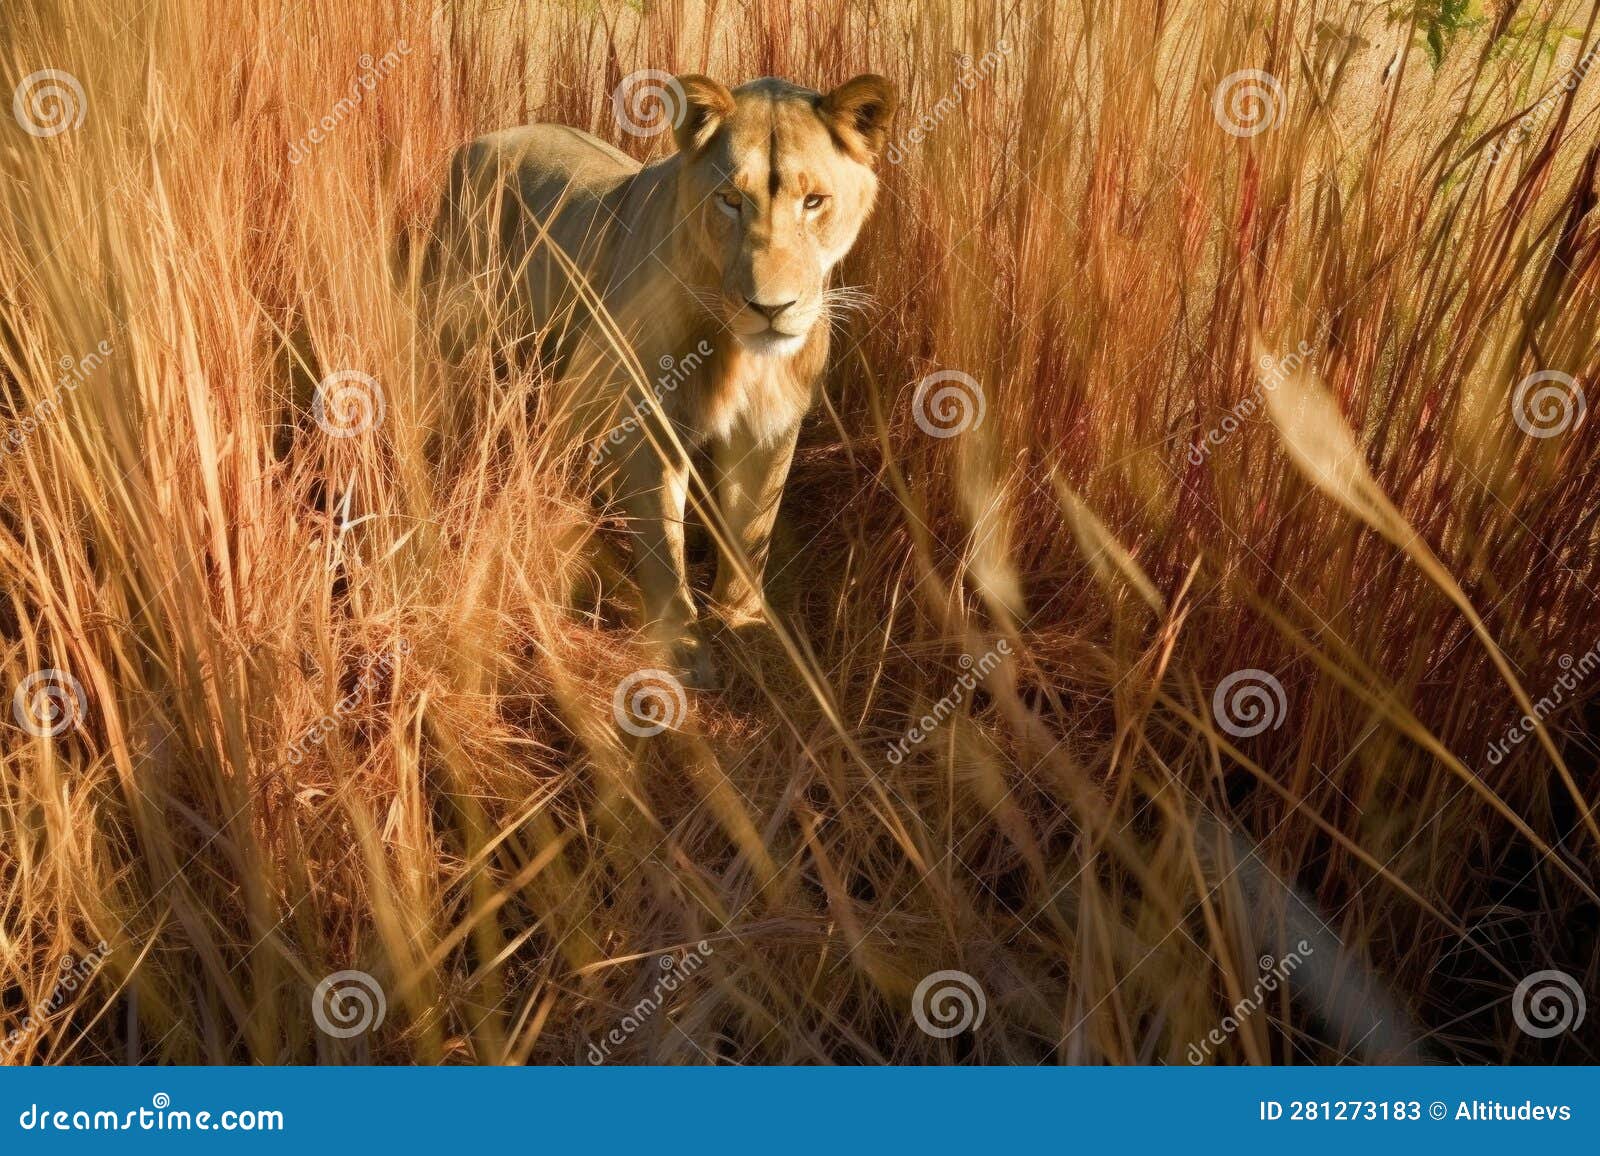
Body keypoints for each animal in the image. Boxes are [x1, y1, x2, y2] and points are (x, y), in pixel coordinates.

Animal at [427, 73, 896, 686]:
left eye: (814, 201)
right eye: (730, 200)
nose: (770, 308)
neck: (741, 353)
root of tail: (480, 142)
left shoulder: (771, 426)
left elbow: (753, 531)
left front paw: (745, 625)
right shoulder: (649, 422)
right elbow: (661, 548)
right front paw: (683, 648)